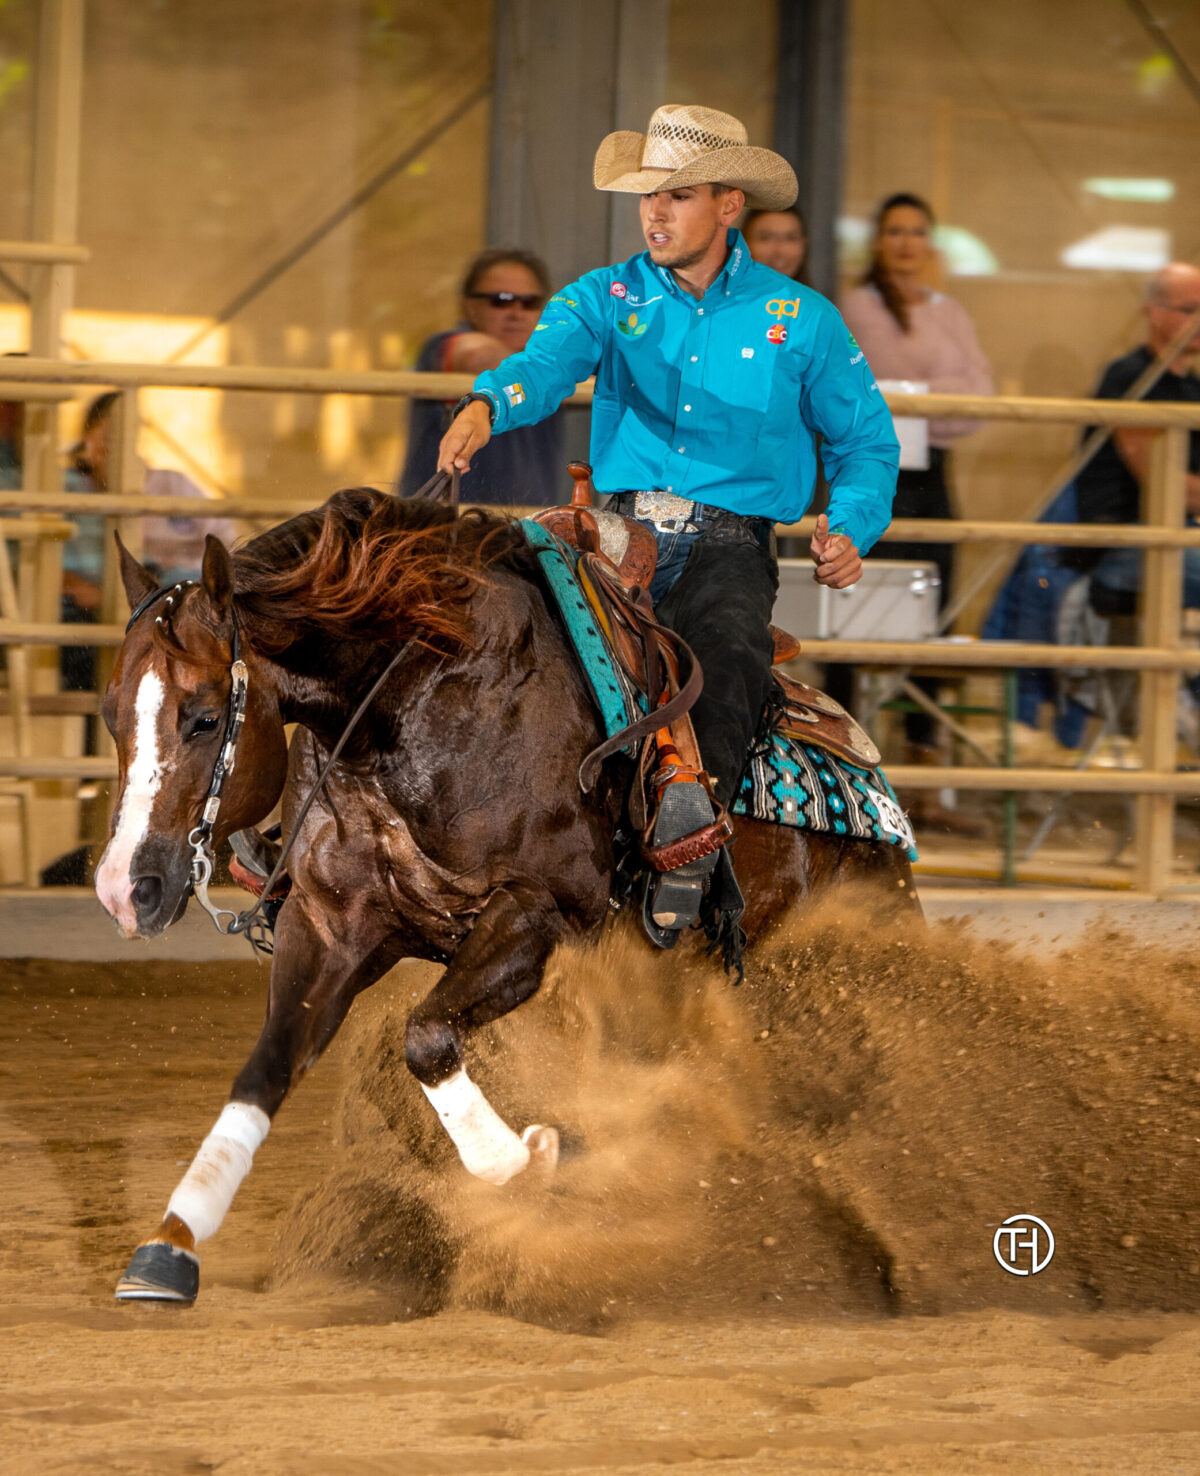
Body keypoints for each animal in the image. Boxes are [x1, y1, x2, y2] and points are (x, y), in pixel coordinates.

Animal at [95, 488, 917, 1302]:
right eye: (109, 712)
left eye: (204, 717)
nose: (123, 889)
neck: (416, 704)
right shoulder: (329, 926)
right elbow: (267, 1067)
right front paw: (169, 1246)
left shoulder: (536, 915)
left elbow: (427, 1038)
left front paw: (530, 1160)